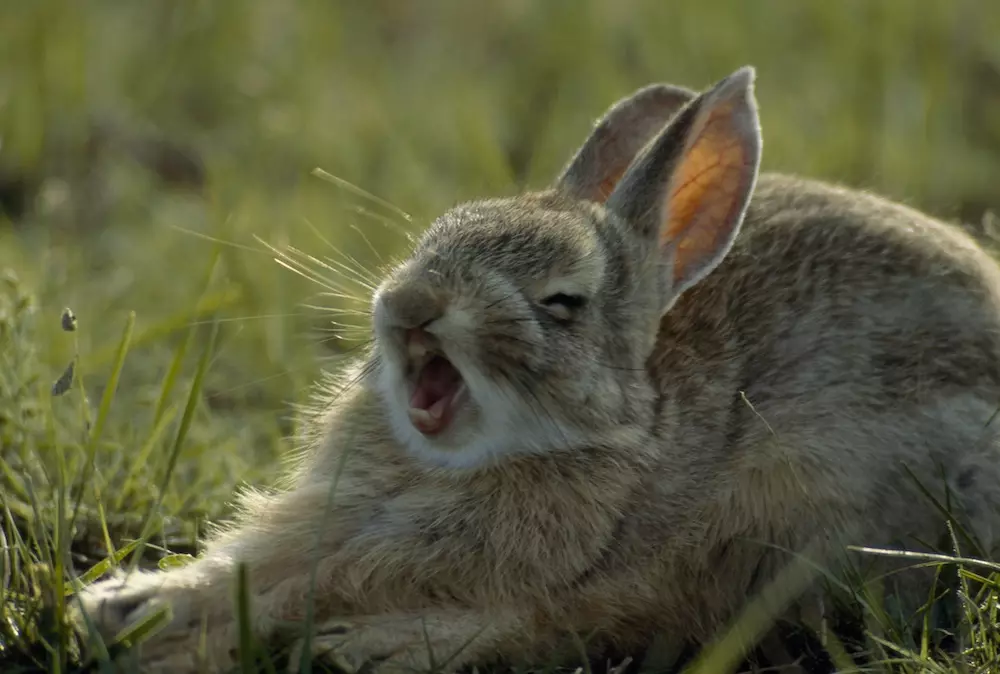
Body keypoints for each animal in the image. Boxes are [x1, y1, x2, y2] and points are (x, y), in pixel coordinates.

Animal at [70, 64, 1000, 672]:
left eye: (562, 302)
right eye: (434, 238)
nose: (410, 304)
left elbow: (310, 590)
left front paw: (158, 625)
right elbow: (256, 563)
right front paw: (122, 605)